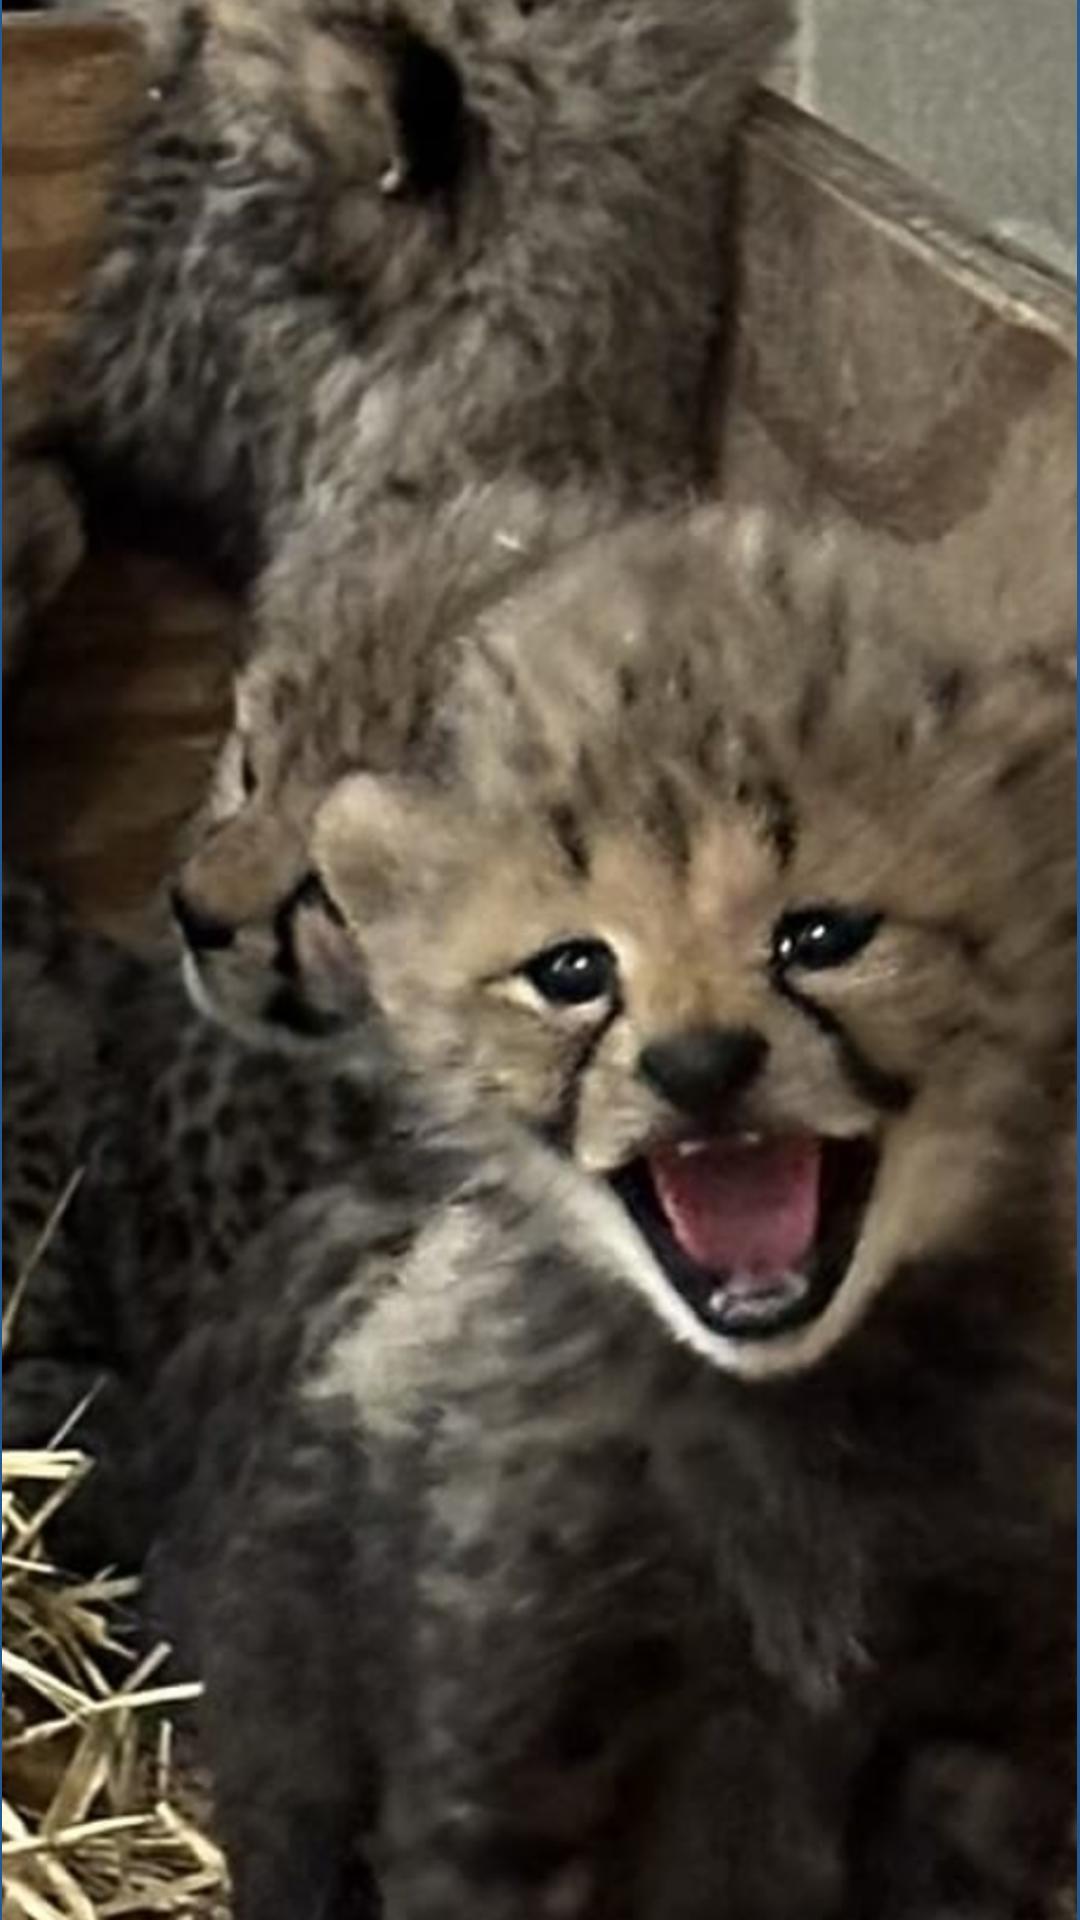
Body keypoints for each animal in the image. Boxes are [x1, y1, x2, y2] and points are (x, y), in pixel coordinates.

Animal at [90, 508, 1079, 1917]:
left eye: (821, 936)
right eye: (573, 971)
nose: (700, 1067)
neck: (776, 1411)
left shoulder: (982, 1737)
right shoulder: (499, 1761)